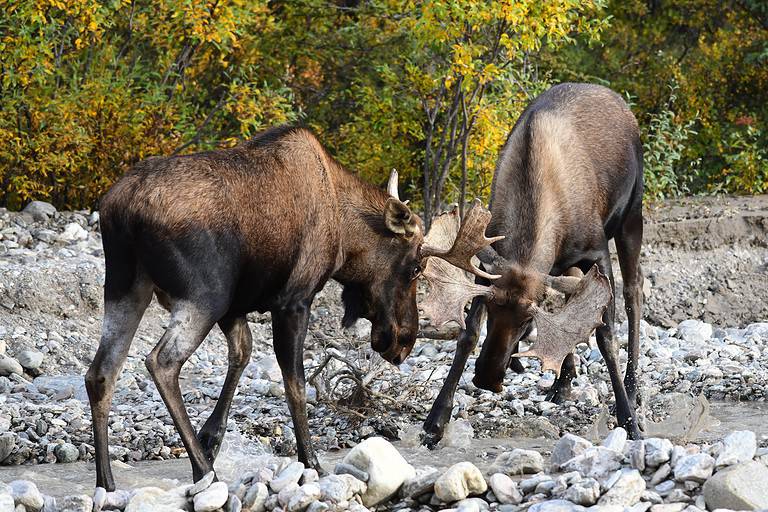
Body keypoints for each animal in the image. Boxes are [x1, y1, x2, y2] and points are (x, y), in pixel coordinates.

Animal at [85, 125, 496, 491]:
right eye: (414, 268)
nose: (404, 342)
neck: (345, 237)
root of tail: (121, 210)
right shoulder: (293, 300)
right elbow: (295, 382)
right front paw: (310, 460)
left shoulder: (238, 306)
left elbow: (243, 354)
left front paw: (211, 438)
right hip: (203, 295)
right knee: (161, 362)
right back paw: (204, 473)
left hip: (125, 285)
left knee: (101, 372)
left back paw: (107, 483)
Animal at [419, 83, 644, 446]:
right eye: (491, 310)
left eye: (527, 321)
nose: (486, 378)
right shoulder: (488, 261)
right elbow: (468, 333)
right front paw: (435, 420)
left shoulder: (596, 252)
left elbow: (607, 336)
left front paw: (628, 420)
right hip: (570, 263)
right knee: (571, 300)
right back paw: (562, 384)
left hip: (631, 216)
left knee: (634, 292)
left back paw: (633, 390)